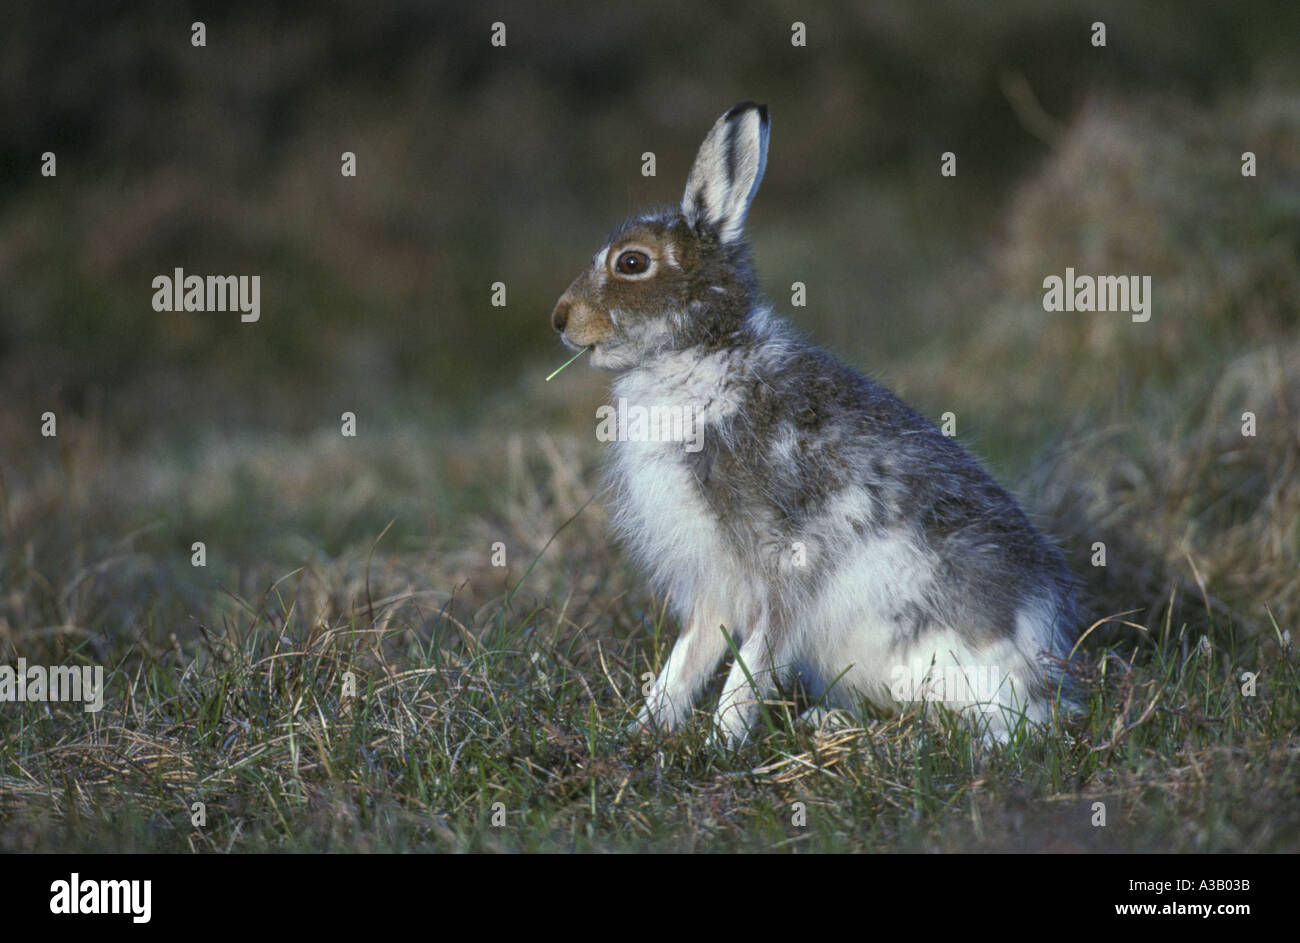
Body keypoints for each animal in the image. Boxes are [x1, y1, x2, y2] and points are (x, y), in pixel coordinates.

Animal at [550, 101, 1080, 746]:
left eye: (632, 263)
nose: (560, 320)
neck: (703, 356)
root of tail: (1042, 661)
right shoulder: (714, 579)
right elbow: (690, 655)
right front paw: (645, 728)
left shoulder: (788, 557)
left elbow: (754, 658)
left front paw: (722, 739)